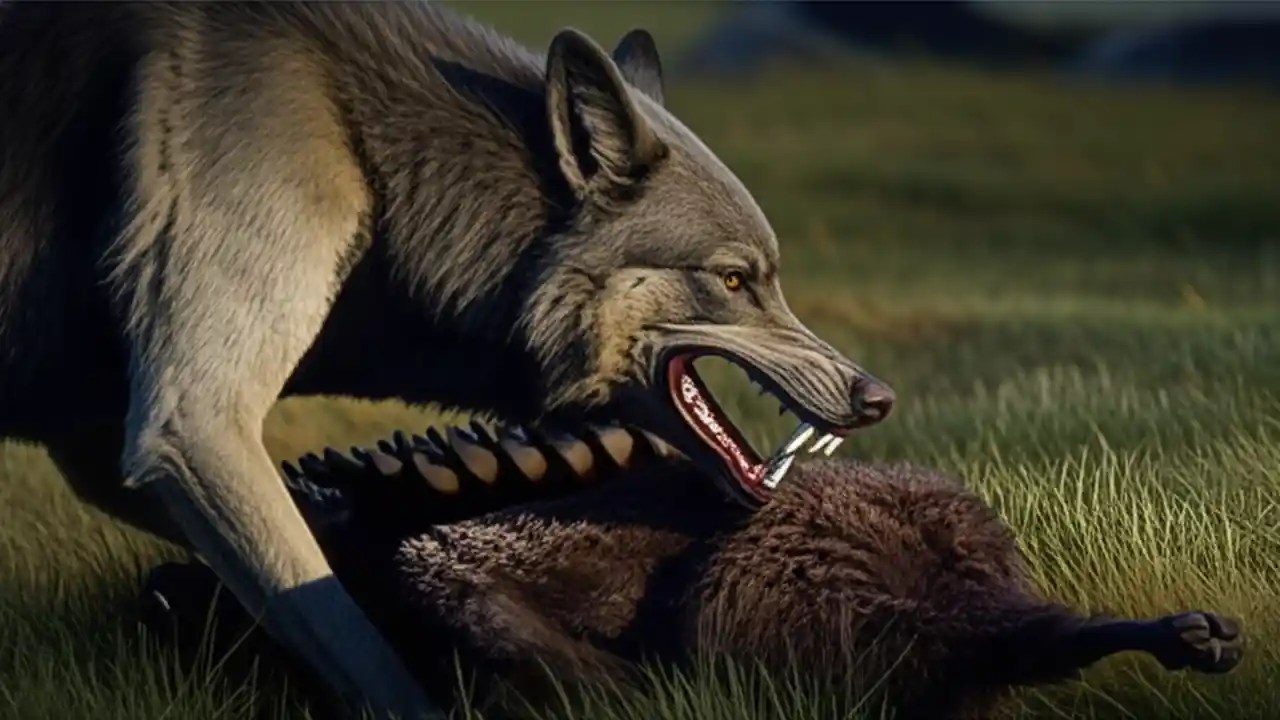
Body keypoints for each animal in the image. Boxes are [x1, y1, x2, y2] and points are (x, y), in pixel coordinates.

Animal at [0, 3, 899, 714]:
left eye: (769, 278)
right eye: (738, 280)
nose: (878, 397)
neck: (379, 166)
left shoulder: (101, 439)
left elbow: (334, 549)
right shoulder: (190, 426)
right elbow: (355, 639)